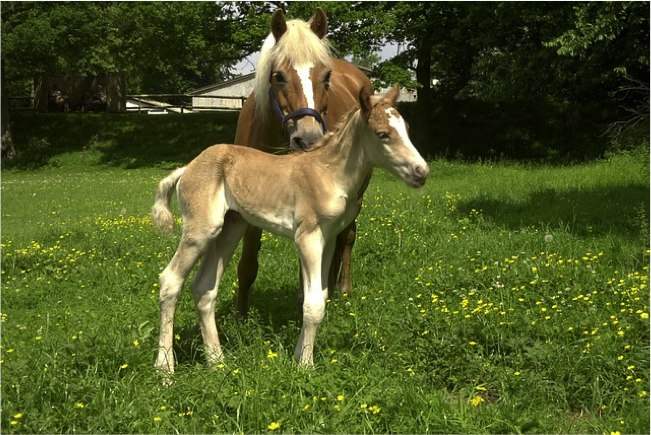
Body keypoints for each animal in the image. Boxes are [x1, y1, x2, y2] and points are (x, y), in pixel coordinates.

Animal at [152, 85, 429, 374]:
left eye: (407, 128)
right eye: (382, 134)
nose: (421, 172)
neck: (329, 173)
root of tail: (187, 168)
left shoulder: (329, 239)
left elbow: (321, 295)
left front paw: (299, 356)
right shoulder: (308, 236)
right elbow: (313, 303)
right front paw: (305, 366)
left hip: (230, 228)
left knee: (204, 287)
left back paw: (218, 362)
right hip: (201, 230)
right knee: (170, 280)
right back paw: (165, 369)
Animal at [233, 8, 373, 320]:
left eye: (326, 77)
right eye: (278, 76)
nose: (308, 139)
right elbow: (248, 261)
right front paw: (240, 315)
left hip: (356, 196)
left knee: (347, 237)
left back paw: (343, 288)